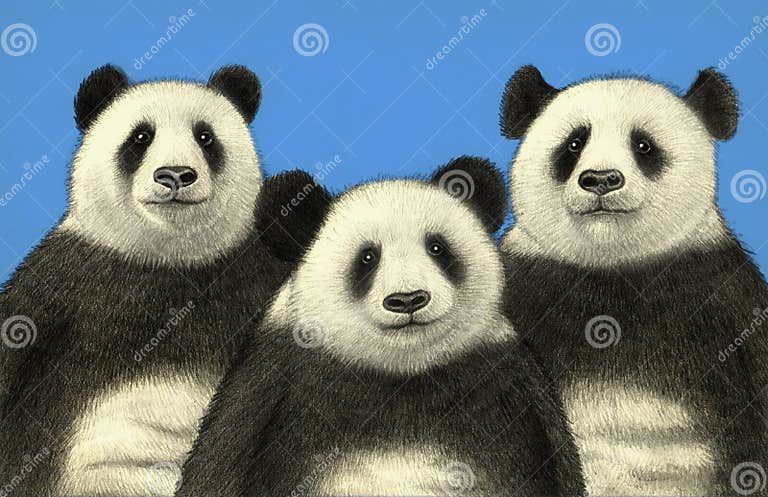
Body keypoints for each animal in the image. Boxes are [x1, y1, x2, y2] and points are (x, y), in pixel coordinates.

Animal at [0, 65, 313, 496]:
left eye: (205, 136)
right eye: (141, 136)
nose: (176, 175)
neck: (170, 258)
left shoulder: (253, 274)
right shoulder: (63, 282)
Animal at [175, 157, 586, 497]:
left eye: (437, 248)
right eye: (368, 257)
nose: (408, 300)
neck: (400, 373)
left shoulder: (508, 378)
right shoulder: (274, 381)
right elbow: (219, 463)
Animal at [499, 65, 768, 496]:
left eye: (643, 145)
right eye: (574, 143)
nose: (601, 179)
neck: (613, 265)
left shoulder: (726, 301)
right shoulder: (523, 288)